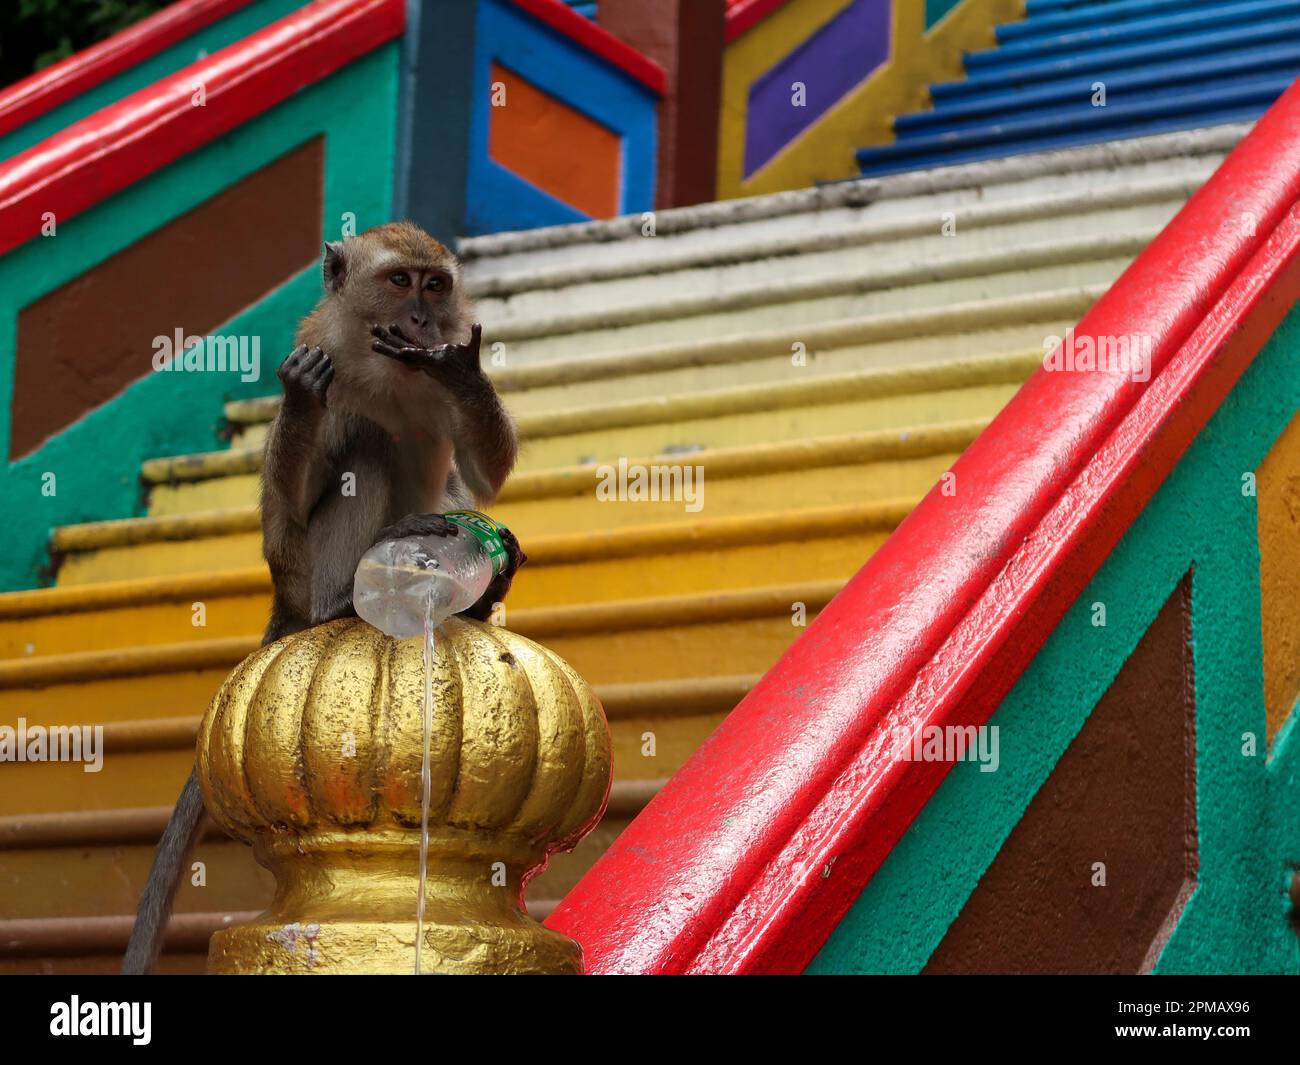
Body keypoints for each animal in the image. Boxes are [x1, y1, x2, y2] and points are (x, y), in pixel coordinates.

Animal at [122, 222, 524, 974]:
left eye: (435, 286)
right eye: (400, 282)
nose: (422, 320)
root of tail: (285, 596)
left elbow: (484, 475)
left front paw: (462, 373)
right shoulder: (322, 352)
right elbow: (296, 490)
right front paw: (304, 401)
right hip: (302, 569)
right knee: (364, 447)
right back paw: (344, 599)